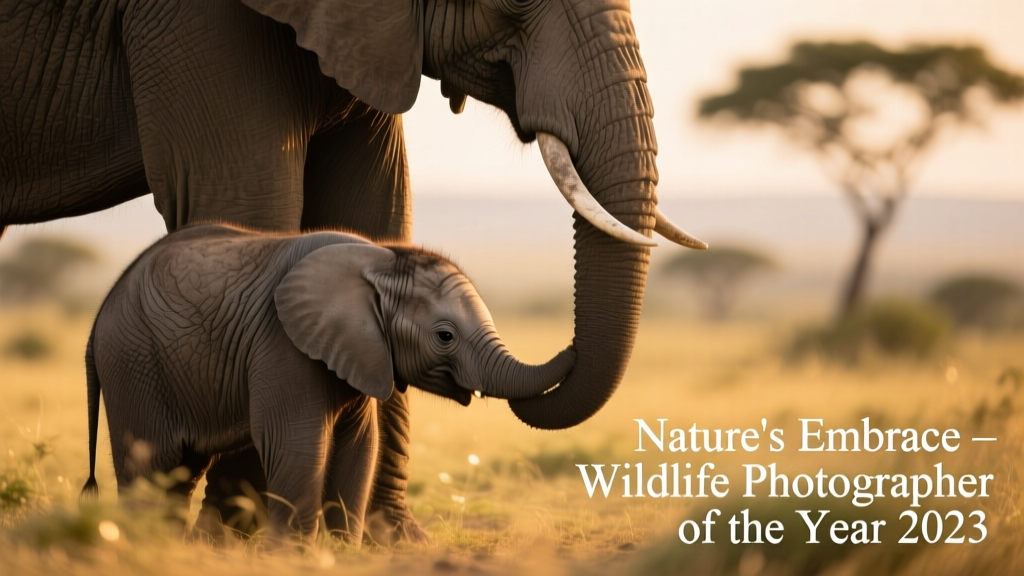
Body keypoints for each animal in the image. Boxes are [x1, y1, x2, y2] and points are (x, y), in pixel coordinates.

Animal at [80, 223, 574, 541]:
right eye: (445, 336)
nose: (572, 345)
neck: (381, 257)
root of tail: (99, 312)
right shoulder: (283, 347)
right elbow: (300, 448)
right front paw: (294, 560)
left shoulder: (359, 355)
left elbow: (359, 449)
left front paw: (341, 554)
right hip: (133, 364)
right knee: (152, 465)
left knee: (178, 473)